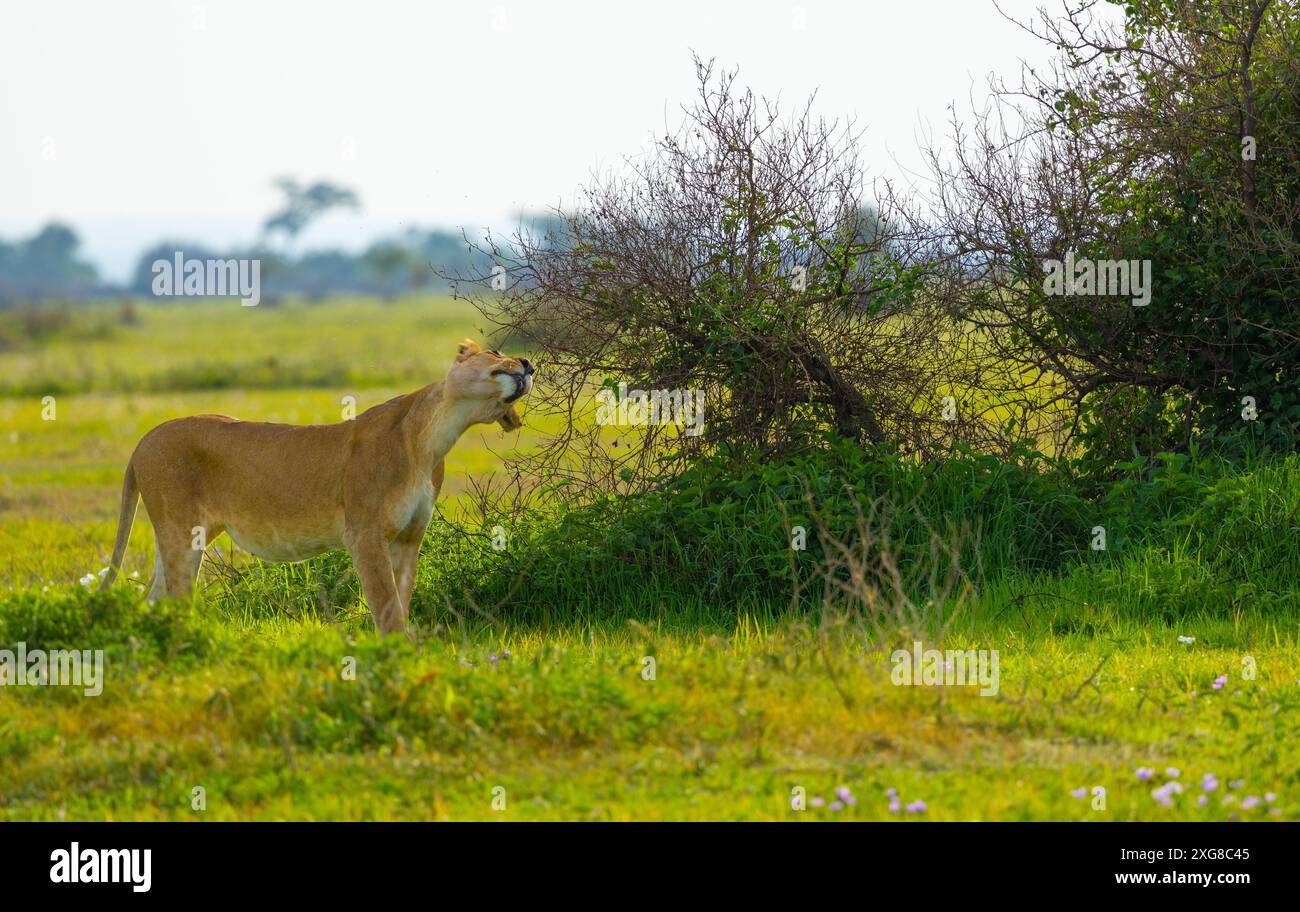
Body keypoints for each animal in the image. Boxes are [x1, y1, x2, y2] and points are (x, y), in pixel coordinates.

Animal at [99, 339, 533, 635]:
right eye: (496, 351)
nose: (529, 362)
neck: (432, 440)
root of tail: (143, 440)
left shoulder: (409, 539)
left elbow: (402, 601)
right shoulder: (365, 534)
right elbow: (387, 607)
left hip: (180, 535)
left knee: (154, 597)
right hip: (181, 532)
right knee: (174, 599)